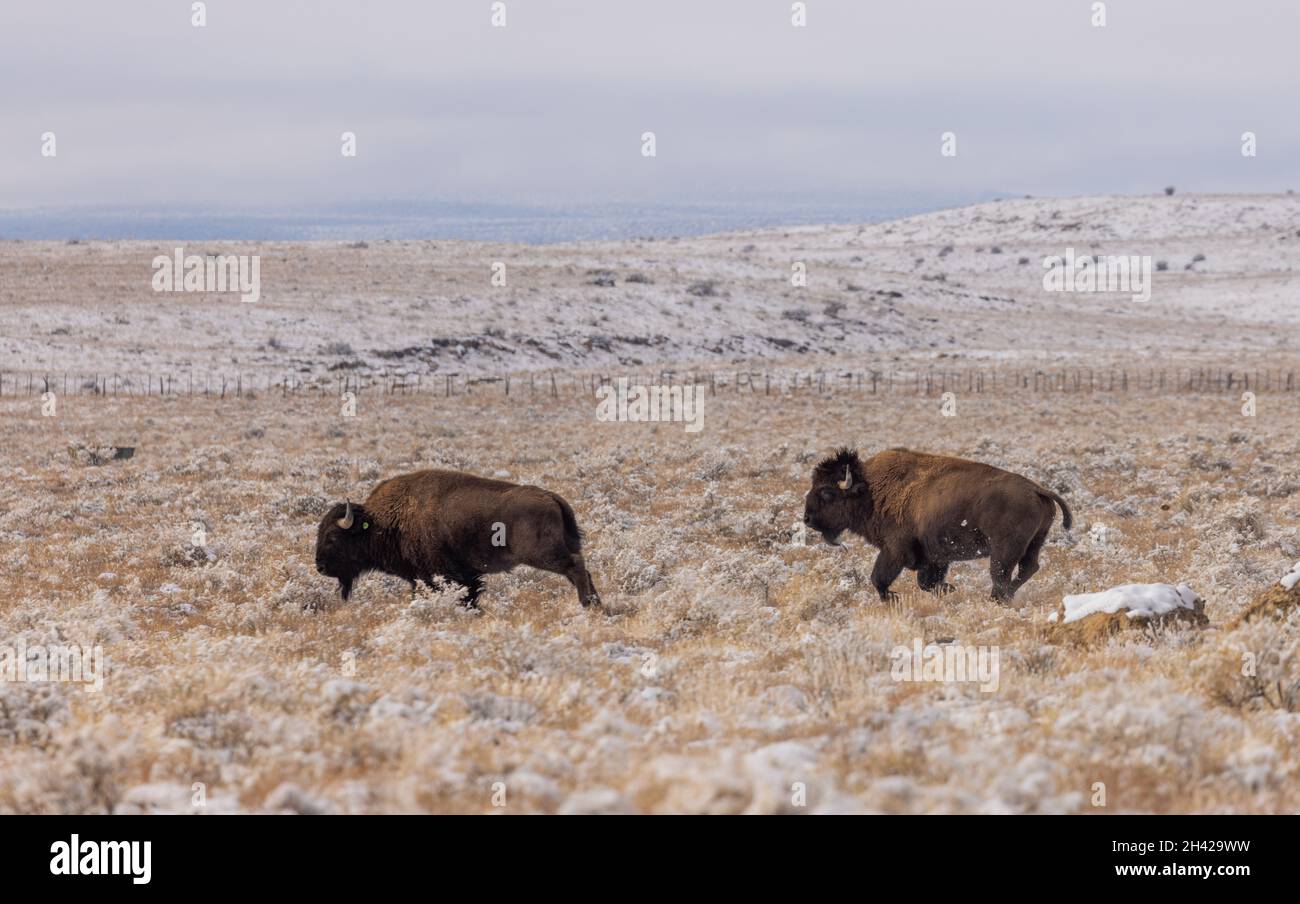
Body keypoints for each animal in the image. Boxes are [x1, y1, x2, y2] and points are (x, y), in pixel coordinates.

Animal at [314, 469, 600, 609]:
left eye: (333, 537)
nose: (320, 567)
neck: (381, 522)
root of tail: (551, 497)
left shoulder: (441, 574)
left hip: (544, 554)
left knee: (576, 567)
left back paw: (587, 604)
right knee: (583, 570)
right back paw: (597, 604)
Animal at [802, 448, 1072, 603]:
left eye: (826, 493)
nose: (807, 519)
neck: (870, 490)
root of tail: (1037, 489)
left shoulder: (894, 551)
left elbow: (879, 578)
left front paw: (893, 599)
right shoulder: (935, 558)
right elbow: (926, 582)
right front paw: (949, 589)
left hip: (1004, 550)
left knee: (1001, 576)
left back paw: (997, 599)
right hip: (1034, 542)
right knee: (1027, 568)